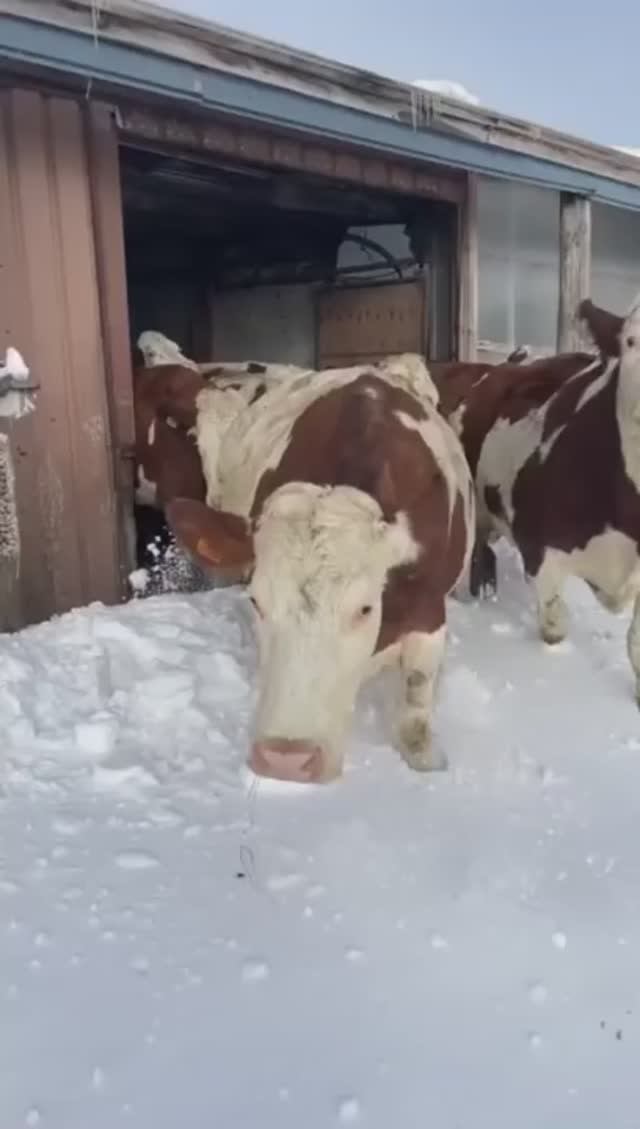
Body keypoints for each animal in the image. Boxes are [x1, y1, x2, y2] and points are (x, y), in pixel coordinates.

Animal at [165, 354, 475, 784]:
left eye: (364, 609)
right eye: (257, 602)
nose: (286, 759)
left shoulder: (429, 609)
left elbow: (417, 691)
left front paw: (425, 757)